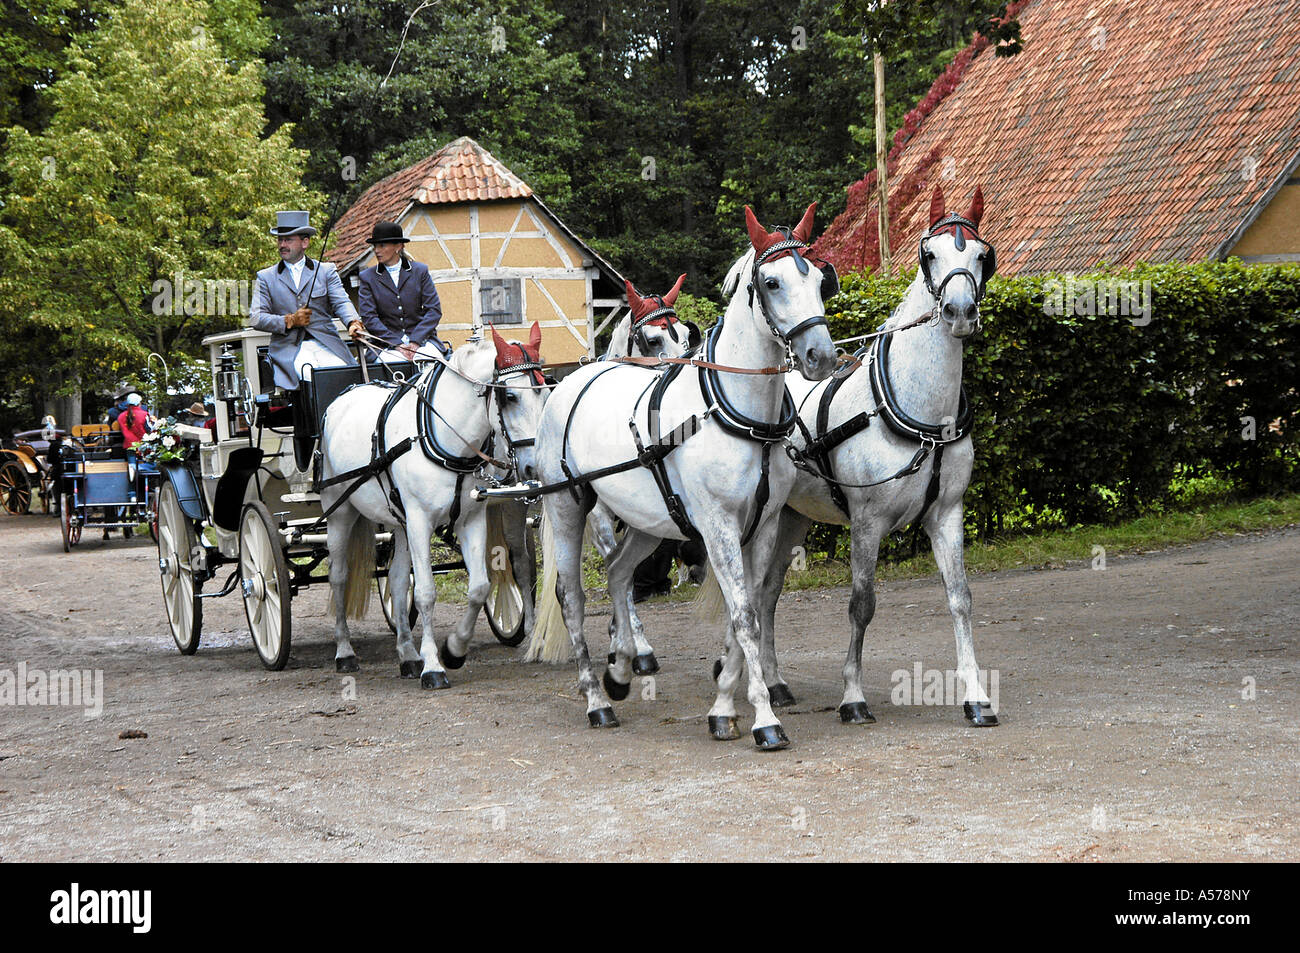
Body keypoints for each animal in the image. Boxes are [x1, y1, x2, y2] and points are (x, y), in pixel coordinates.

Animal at [319, 324, 548, 688]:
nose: (532, 466)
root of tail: (343, 396)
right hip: (340, 512)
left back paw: (407, 655)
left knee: (398, 581)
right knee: (339, 577)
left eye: (543, 390)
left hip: (399, 524)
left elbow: (479, 587)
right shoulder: (420, 521)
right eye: (510, 397)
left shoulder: (471, 520)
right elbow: (426, 592)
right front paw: (434, 666)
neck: (443, 439)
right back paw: (345, 652)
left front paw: (453, 650)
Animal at [527, 204, 839, 749]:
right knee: (573, 598)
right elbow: (744, 615)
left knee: (619, 574)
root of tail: (571, 379)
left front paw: (724, 708)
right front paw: (765, 720)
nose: (821, 356)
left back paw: (621, 671)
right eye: (772, 282)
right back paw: (596, 699)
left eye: (821, 280)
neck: (741, 416)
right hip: (567, 506)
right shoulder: (717, 526)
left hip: (649, 522)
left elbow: (746, 612)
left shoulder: (763, 526)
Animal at [742, 185, 999, 726]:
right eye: (930, 253)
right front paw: (853, 696)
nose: (959, 311)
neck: (920, 411)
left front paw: (976, 696)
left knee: (768, 593)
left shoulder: (947, 515)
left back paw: (775, 683)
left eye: (981, 255)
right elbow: (862, 605)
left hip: (791, 516)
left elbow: (961, 599)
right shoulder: (866, 521)